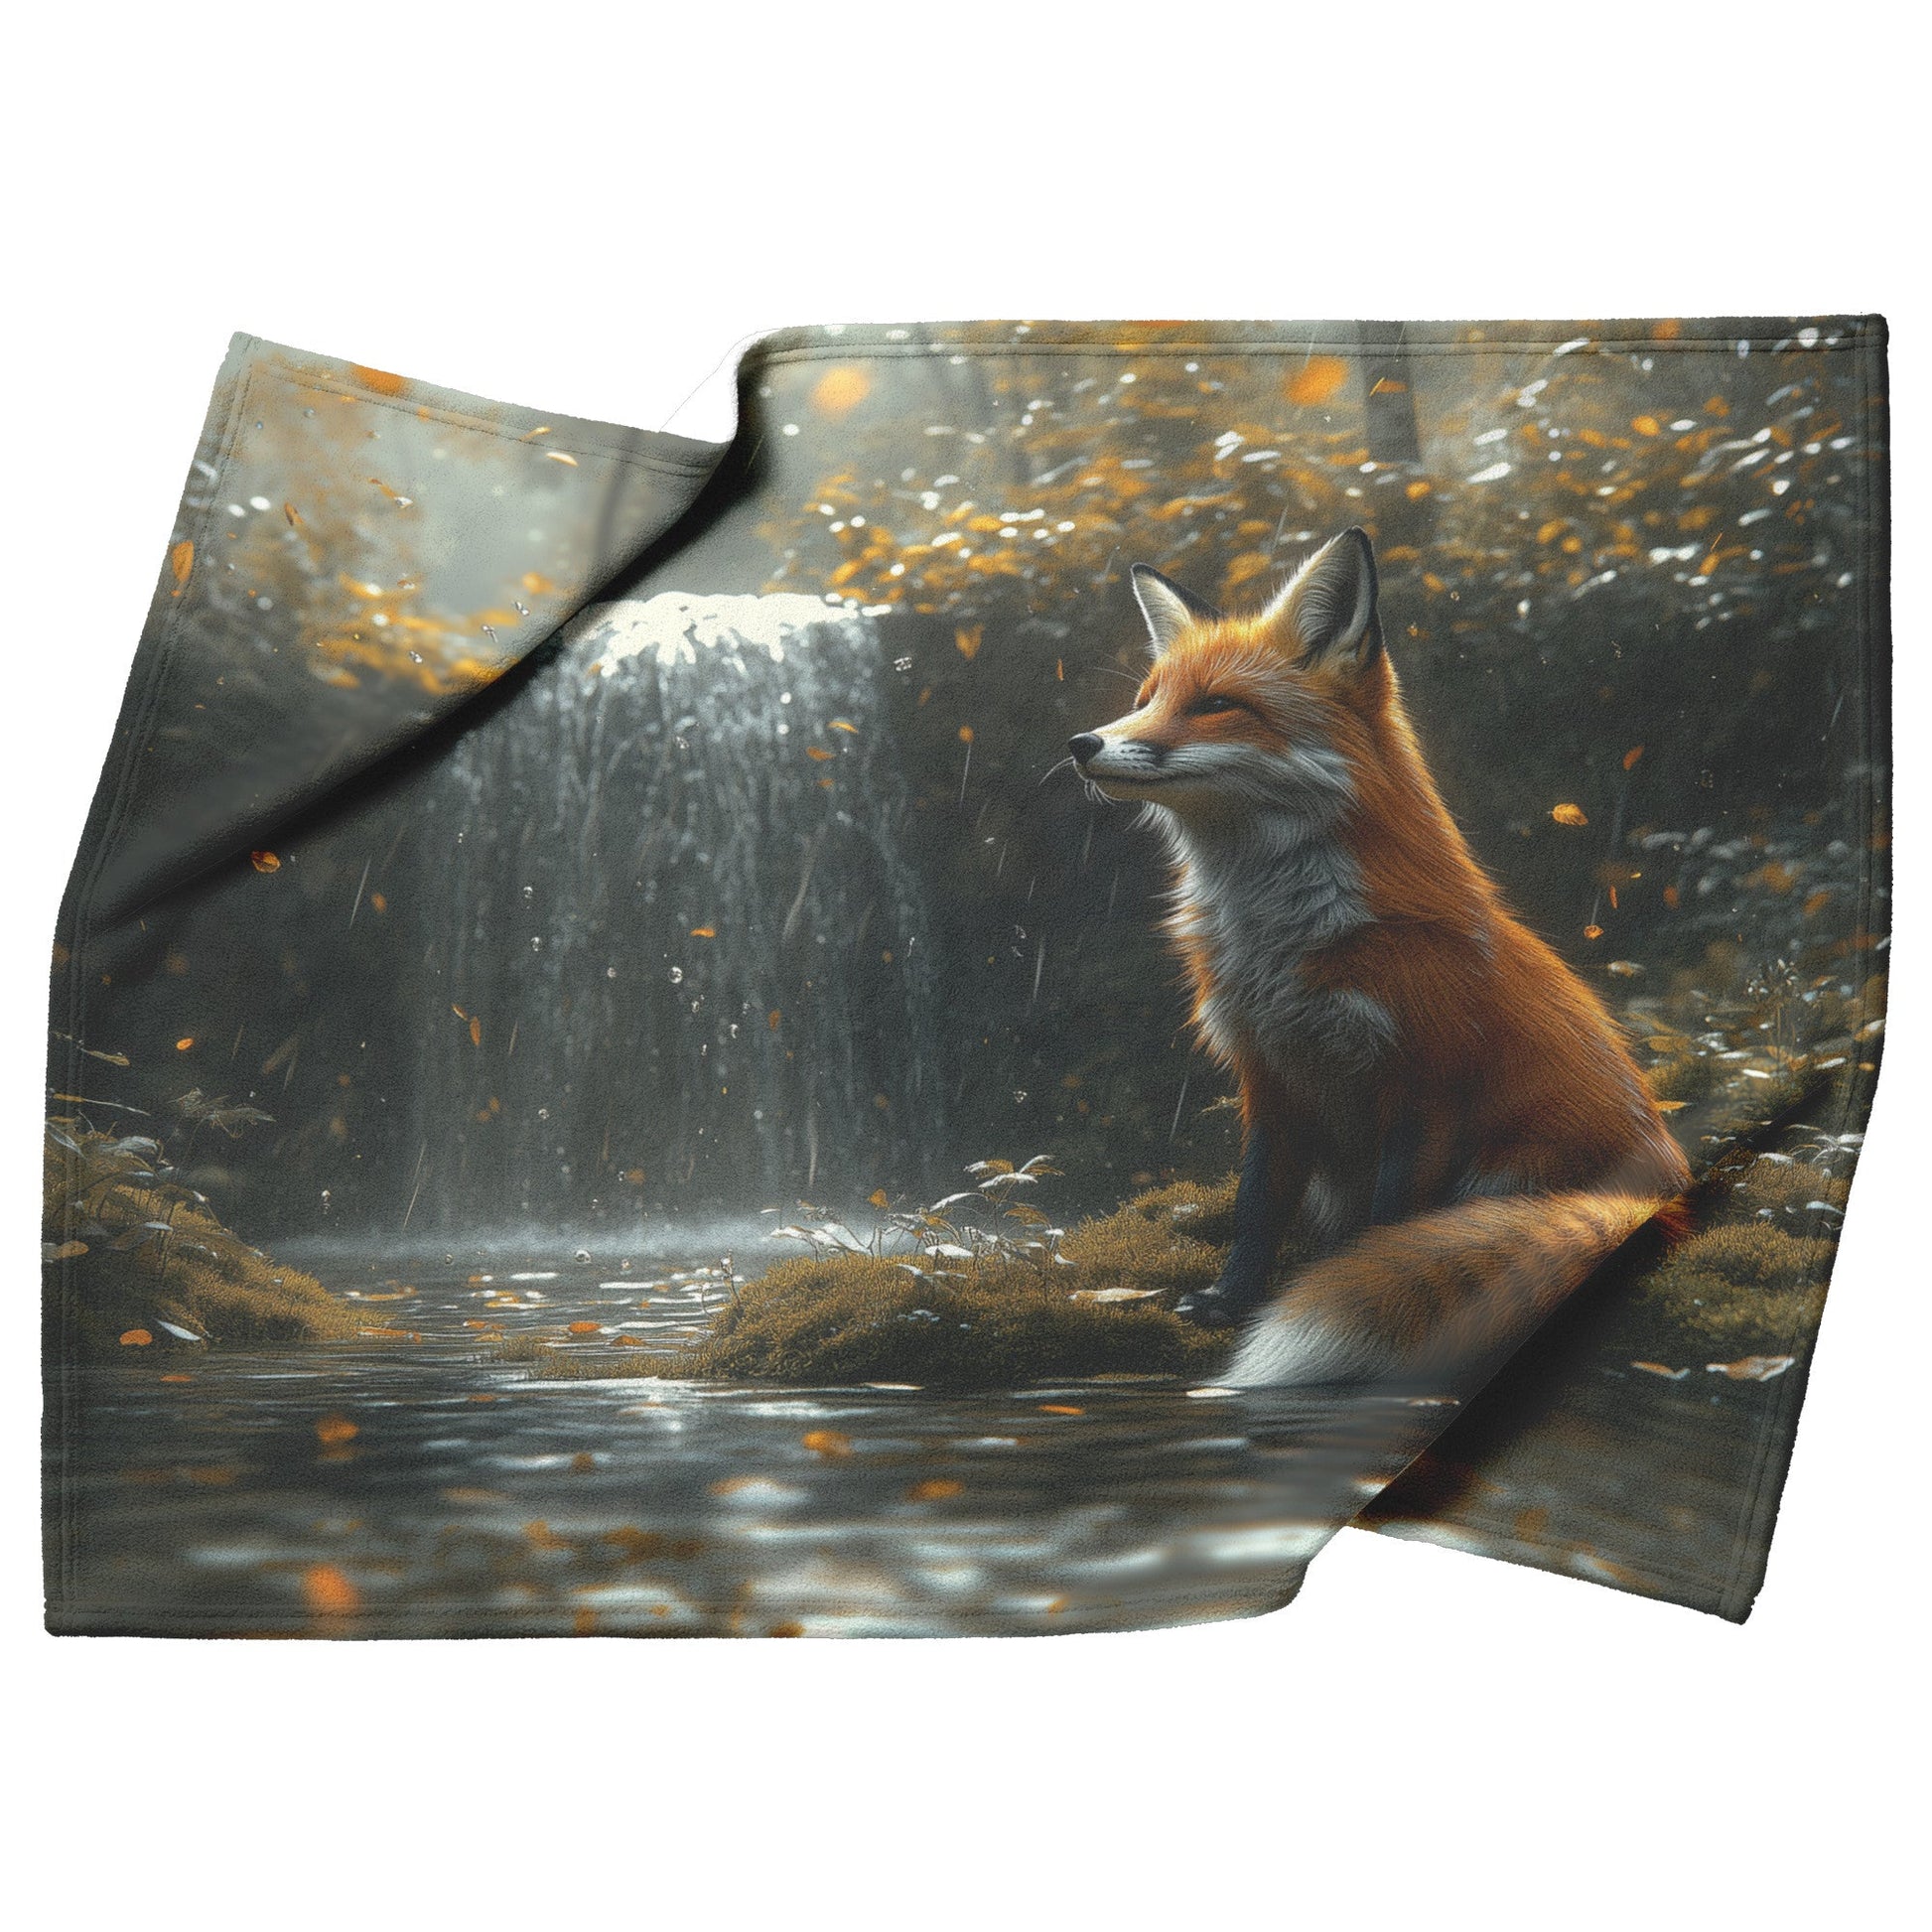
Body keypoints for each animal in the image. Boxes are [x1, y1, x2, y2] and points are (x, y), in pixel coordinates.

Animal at [1067, 528, 1690, 1388]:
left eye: (1215, 704)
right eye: (1146, 699)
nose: (1080, 744)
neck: (1282, 946)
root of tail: (1671, 1190)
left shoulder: (1425, 1079)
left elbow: (1392, 1228)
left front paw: (1360, 1286)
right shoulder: (1271, 1074)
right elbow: (1257, 1209)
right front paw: (1230, 1302)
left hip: (1507, 1169)